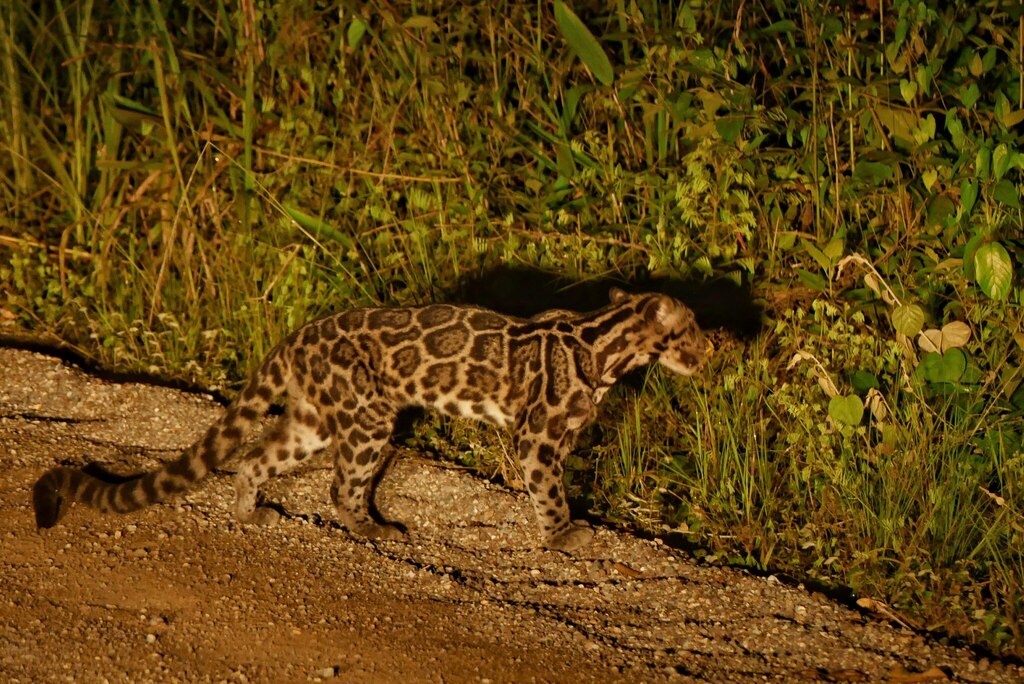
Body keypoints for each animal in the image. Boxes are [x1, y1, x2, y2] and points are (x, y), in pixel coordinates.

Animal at [32, 287, 708, 551]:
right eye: (692, 331)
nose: (710, 353)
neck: (609, 344)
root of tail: (292, 339)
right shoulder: (537, 436)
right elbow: (548, 491)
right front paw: (563, 534)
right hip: (365, 417)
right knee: (340, 486)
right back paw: (370, 526)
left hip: (315, 421)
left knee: (255, 455)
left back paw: (250, 511)